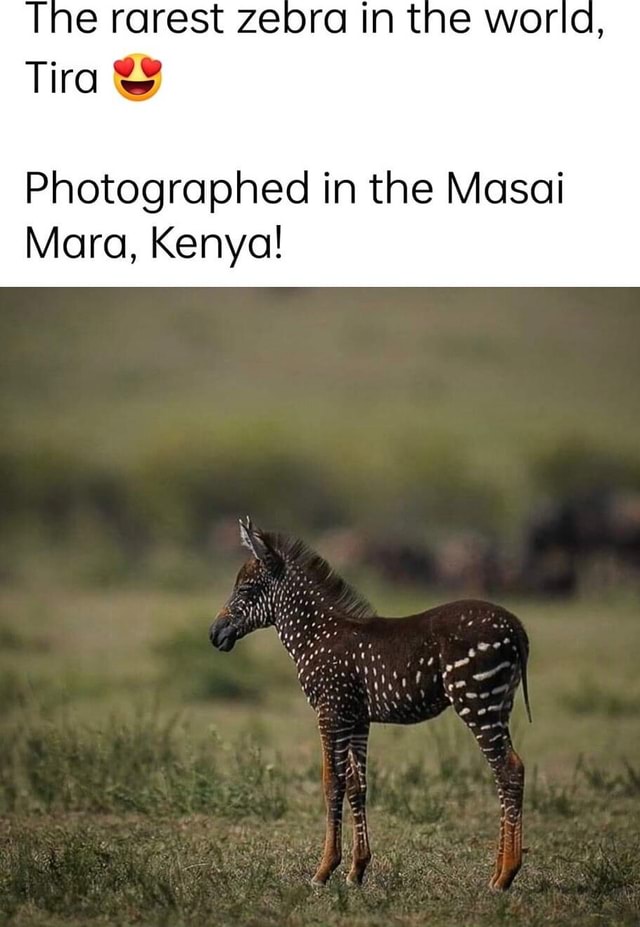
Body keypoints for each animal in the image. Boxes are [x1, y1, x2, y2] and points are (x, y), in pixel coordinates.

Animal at [210, 518, 531, 891]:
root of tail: (516, 626)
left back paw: (505, 876)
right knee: (506, 772)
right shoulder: (357, 717)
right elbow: (356, 785)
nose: (214, 634)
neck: (316, 634)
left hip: (477, 703)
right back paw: (498, 872)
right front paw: (356, 870)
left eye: (246, 590)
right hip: (498, 705)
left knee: (509, 769)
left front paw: (324, 870)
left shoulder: (331, 711)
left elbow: (331, 782)